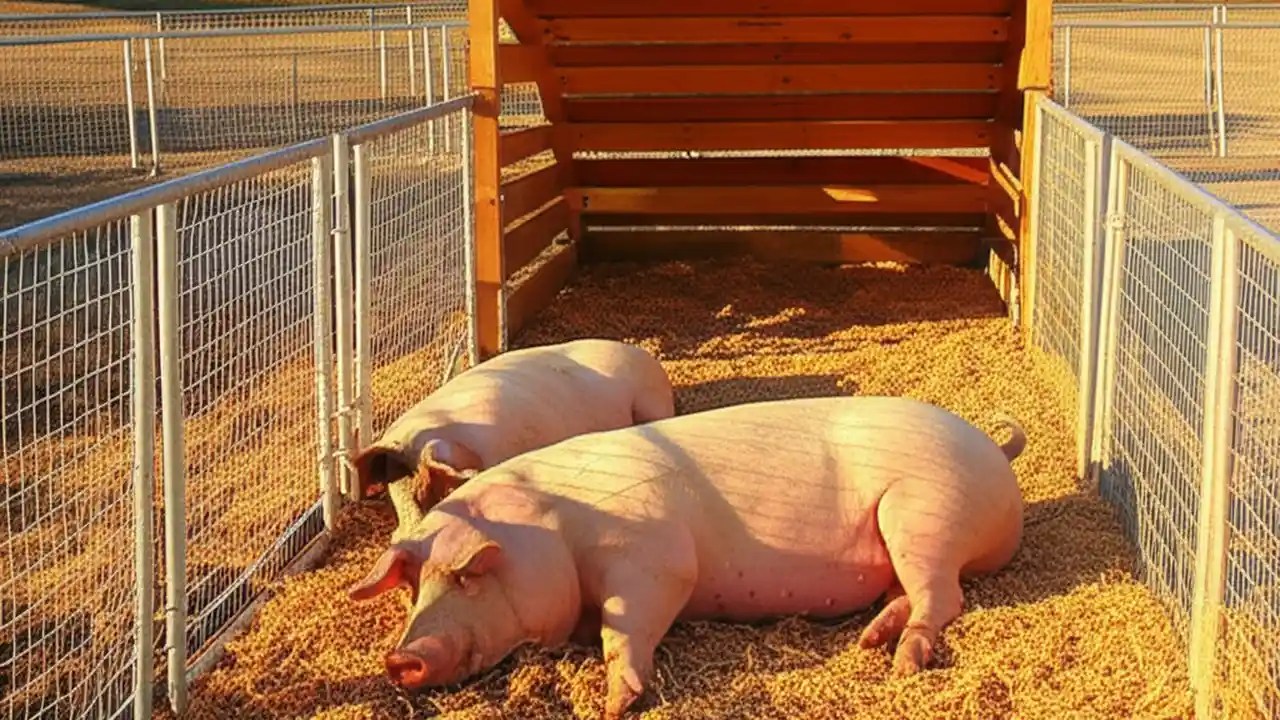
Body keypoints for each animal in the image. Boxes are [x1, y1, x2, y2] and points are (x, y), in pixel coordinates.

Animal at [347, 395, 1027, 718]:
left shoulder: (656, 557)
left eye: (468, 576)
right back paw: (870, 639)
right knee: (907, 593)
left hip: (925, 514)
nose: (399, 657)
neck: (556, 527)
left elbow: (627, 623)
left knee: (944, 595)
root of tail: (994, 450)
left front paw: (615, 704)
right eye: (415, 588)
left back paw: (902, 664)